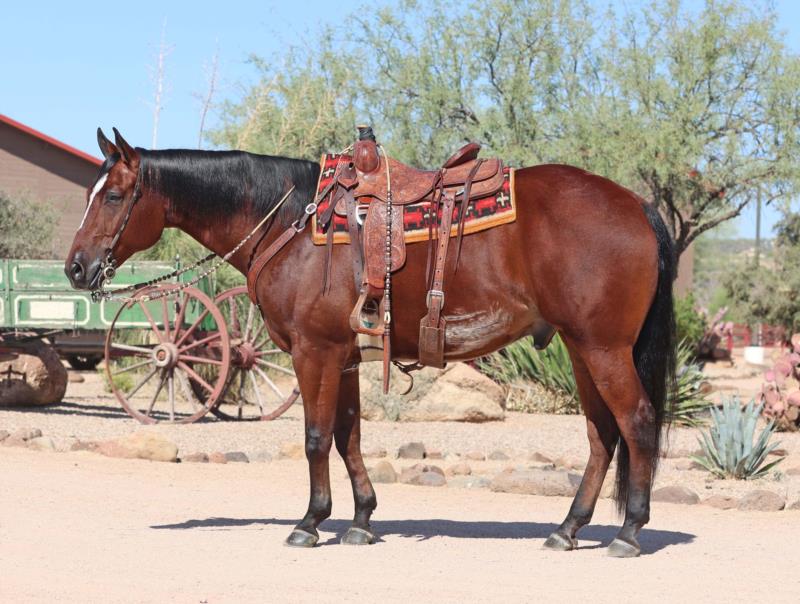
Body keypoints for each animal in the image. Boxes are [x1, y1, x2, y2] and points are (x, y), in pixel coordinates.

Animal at [65, 128, 675, 558]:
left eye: (114, 195)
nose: (76, 267)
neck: (290, 222)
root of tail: (638, 205)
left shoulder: (313, 351)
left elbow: (315, 437)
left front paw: (310, 522)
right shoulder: (346, 356)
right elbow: (348, 436)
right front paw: (360, 520)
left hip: (603, 348)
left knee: (637, 424)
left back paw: (628, 533)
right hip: (581, 348)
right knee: (602, 435)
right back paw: (567, 528)